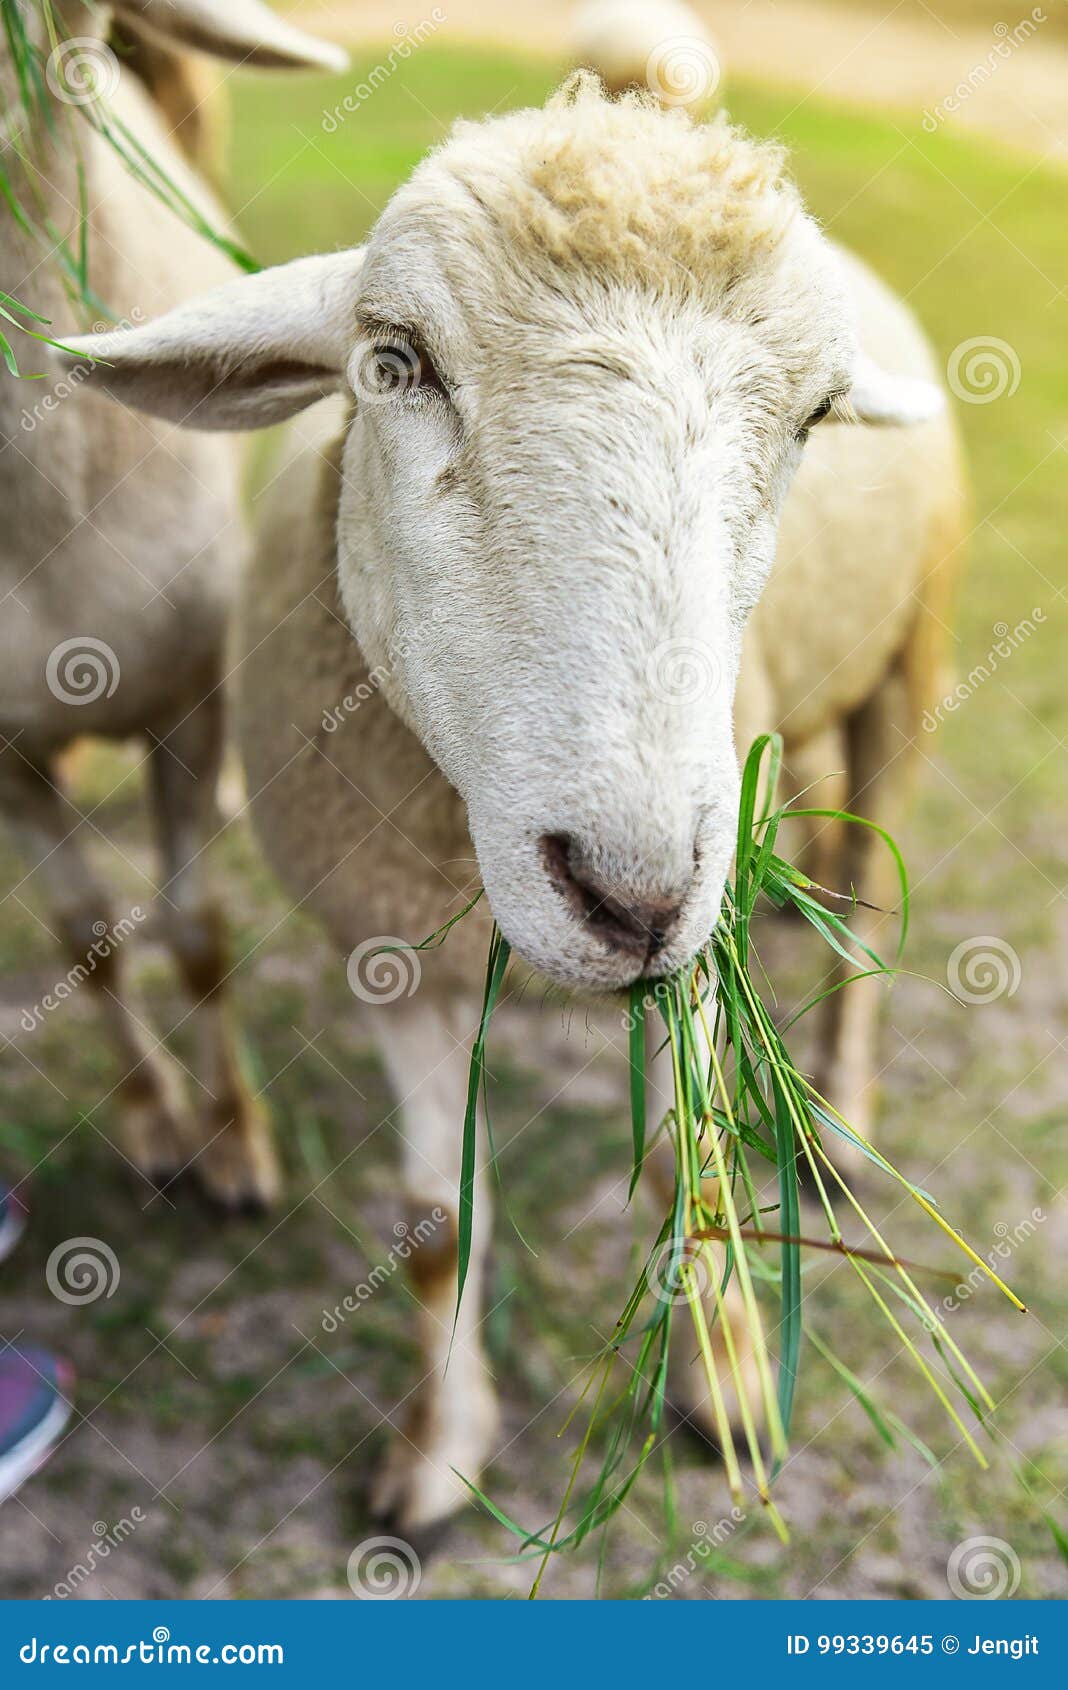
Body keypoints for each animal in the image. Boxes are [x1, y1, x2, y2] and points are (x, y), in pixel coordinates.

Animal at [0, 0, 345, 1210]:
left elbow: (197, 933)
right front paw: (153, 1124)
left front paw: (237, 1146)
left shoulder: (188, 695)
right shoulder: (1, 752)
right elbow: (84, 938)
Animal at [58, 76, 965, 1529]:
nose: (631, 895)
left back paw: (839, 1114)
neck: (462, 859)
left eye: (815, 418)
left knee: (875, 890)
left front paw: (725, 1383)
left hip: (912, 648)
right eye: (395, 361)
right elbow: (435, 1225)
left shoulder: (694, 950)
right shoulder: (384, 945)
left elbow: (689, 1167)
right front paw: (437, 1451)